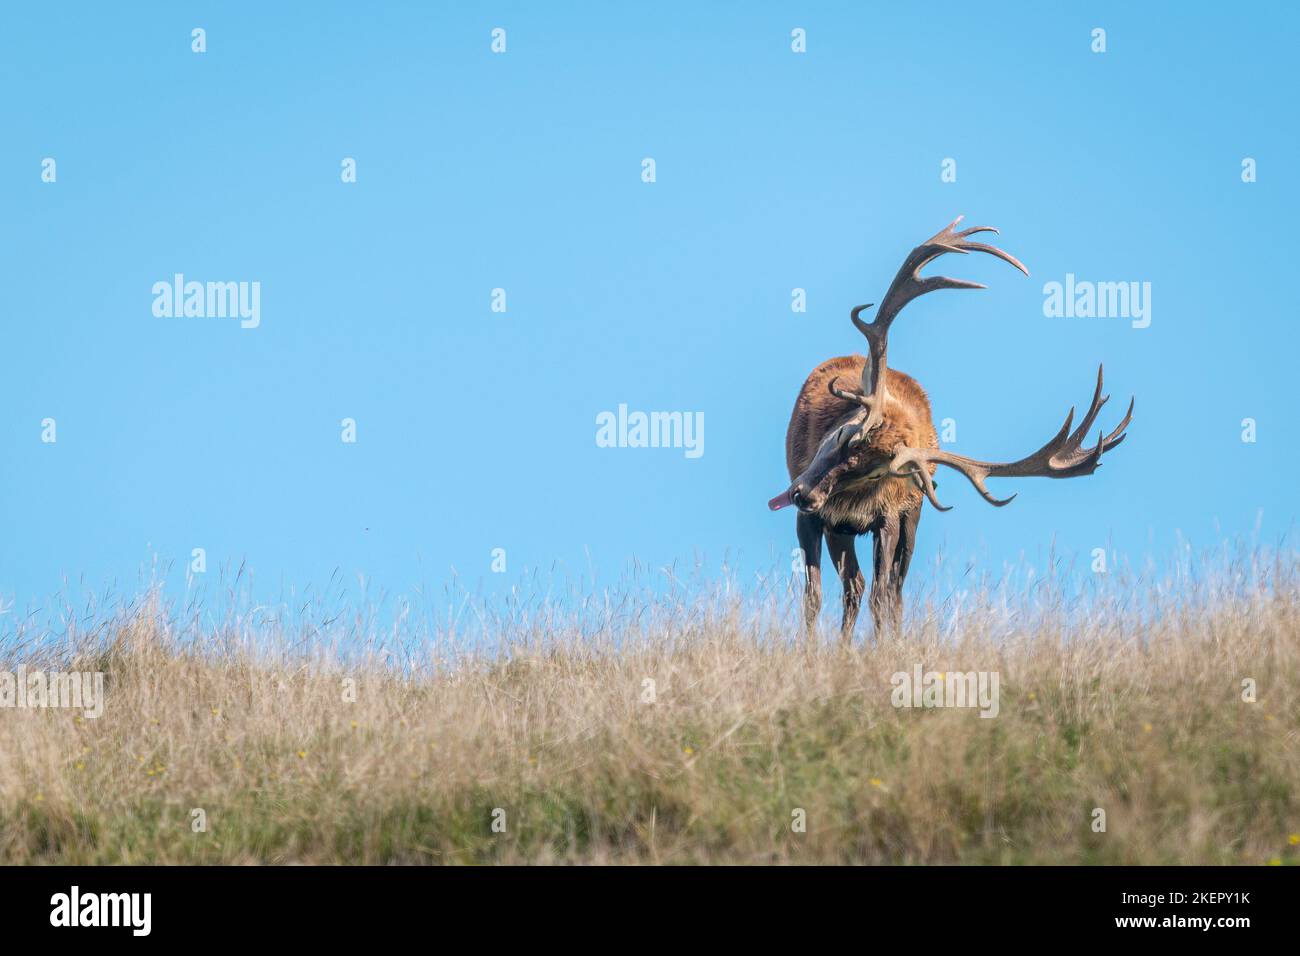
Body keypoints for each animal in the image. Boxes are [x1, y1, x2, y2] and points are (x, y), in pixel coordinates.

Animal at [767, 217, 1133, 639]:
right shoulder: (815, 519)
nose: (804, 494)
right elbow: (813, 596)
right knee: (855, 587)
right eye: (845, 435)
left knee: (888, 591)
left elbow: (881, 593)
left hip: (908, 519)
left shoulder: (889, 515)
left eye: (878, 469)